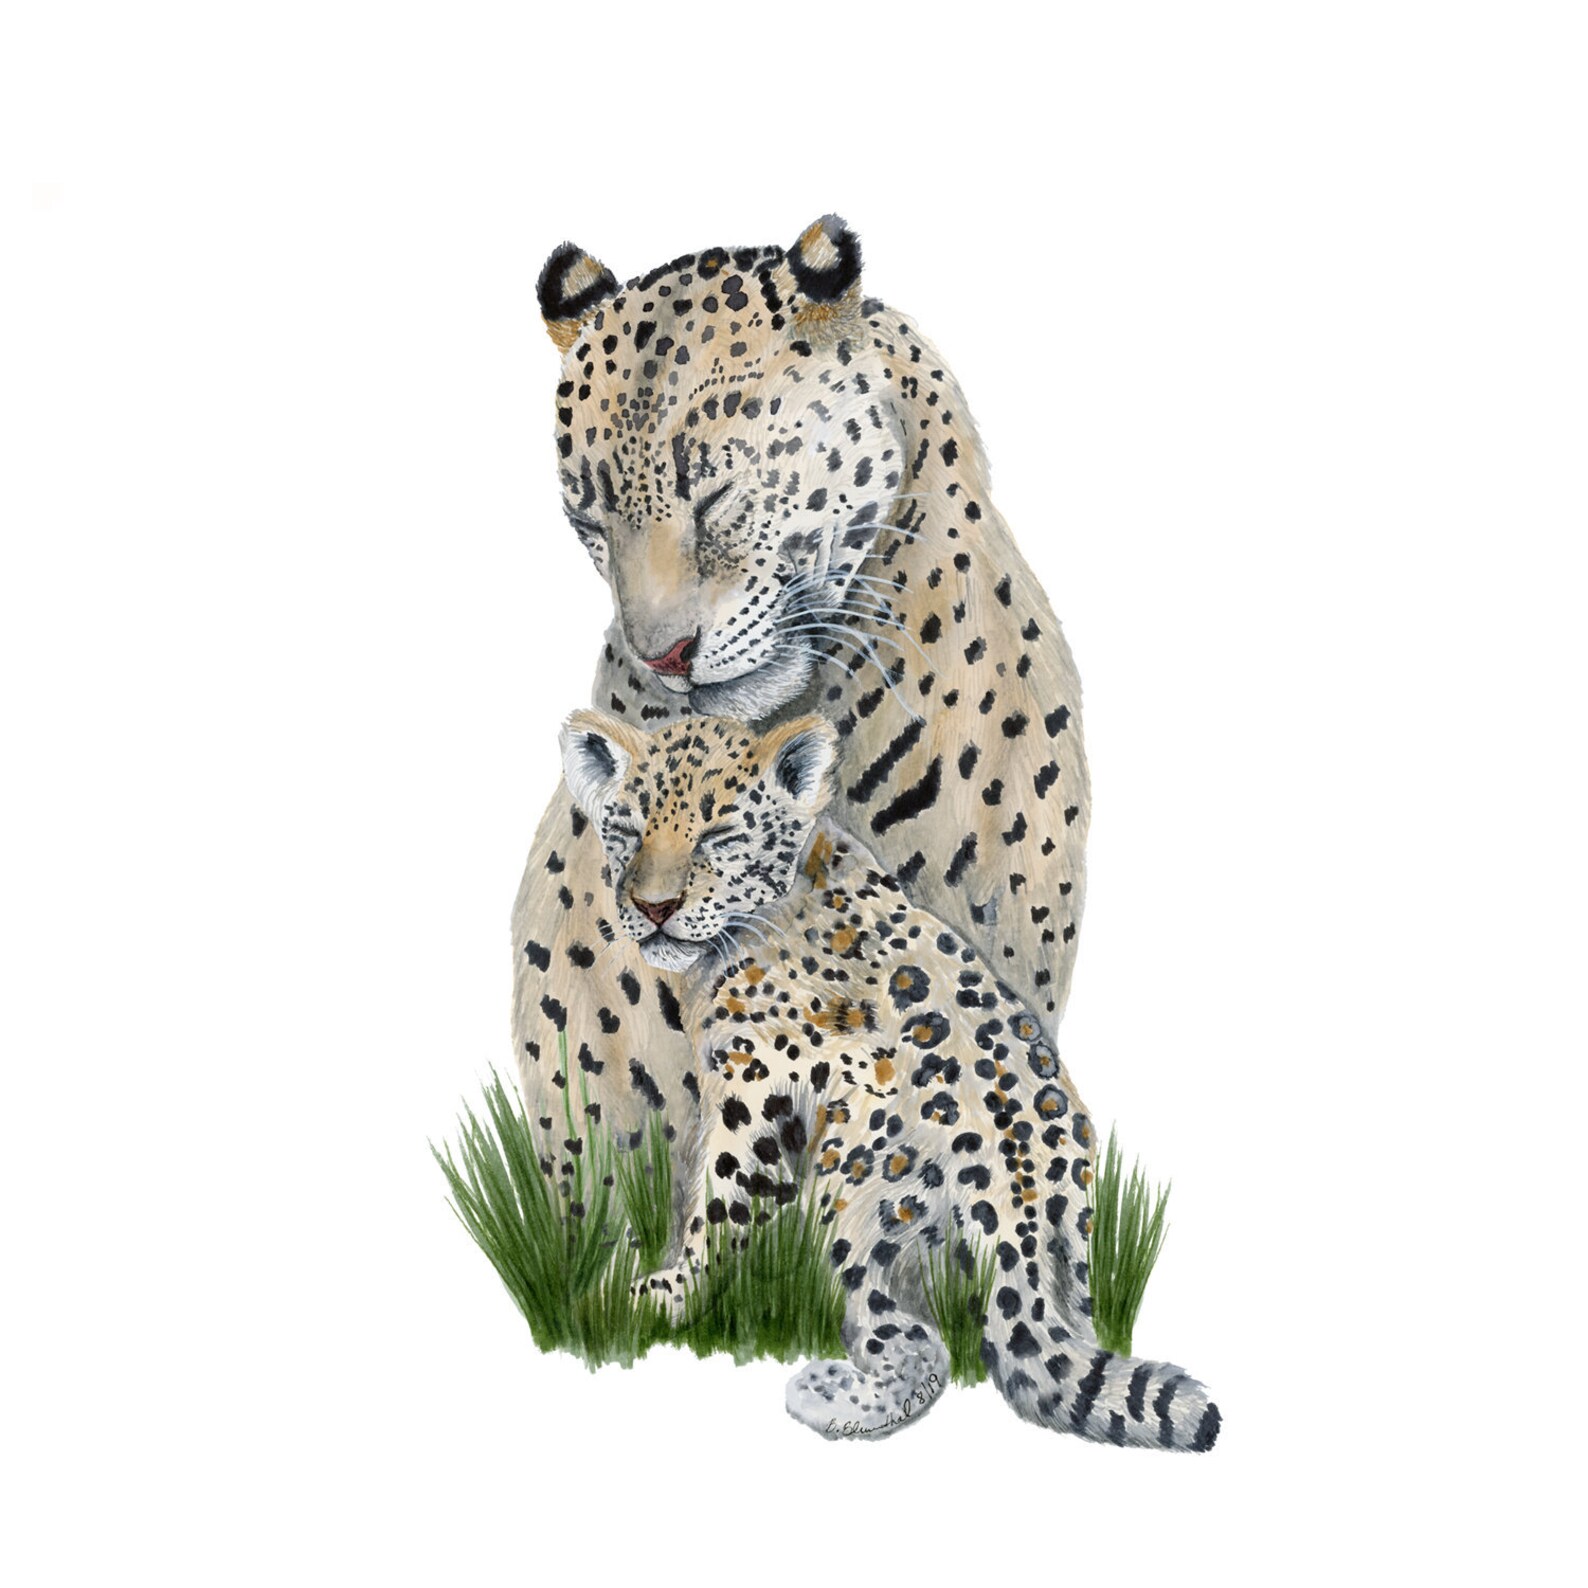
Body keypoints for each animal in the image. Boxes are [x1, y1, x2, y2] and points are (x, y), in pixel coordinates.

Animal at [558, 708, 1219, 1452]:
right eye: (628, 830)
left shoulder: (753, 1083)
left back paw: (829, 1398)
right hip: (1067, 1260)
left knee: (917, 1343)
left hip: (854, 1179)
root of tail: (1030, 1200)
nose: (655, 907)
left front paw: (667, 1293)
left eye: (719, 835)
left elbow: (723, 1198)